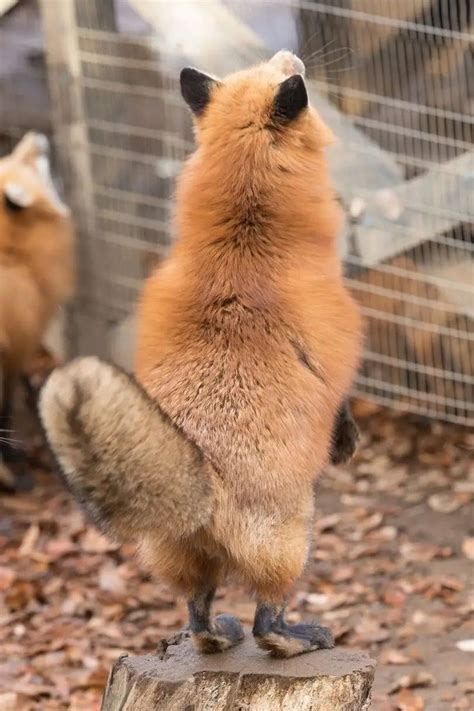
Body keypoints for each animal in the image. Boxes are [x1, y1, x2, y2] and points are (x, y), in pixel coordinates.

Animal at [40, 51, 362, 657]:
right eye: (272, 70)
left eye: (258, 66)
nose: (294, 58)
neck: (245, 229)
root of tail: (204, 476)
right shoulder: (340, 346)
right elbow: (343, 400)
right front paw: (347, 440)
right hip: (295, 534)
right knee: (266, 620)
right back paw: (293, 637)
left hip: (182, 562)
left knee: (198, 613)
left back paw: (212, 638)